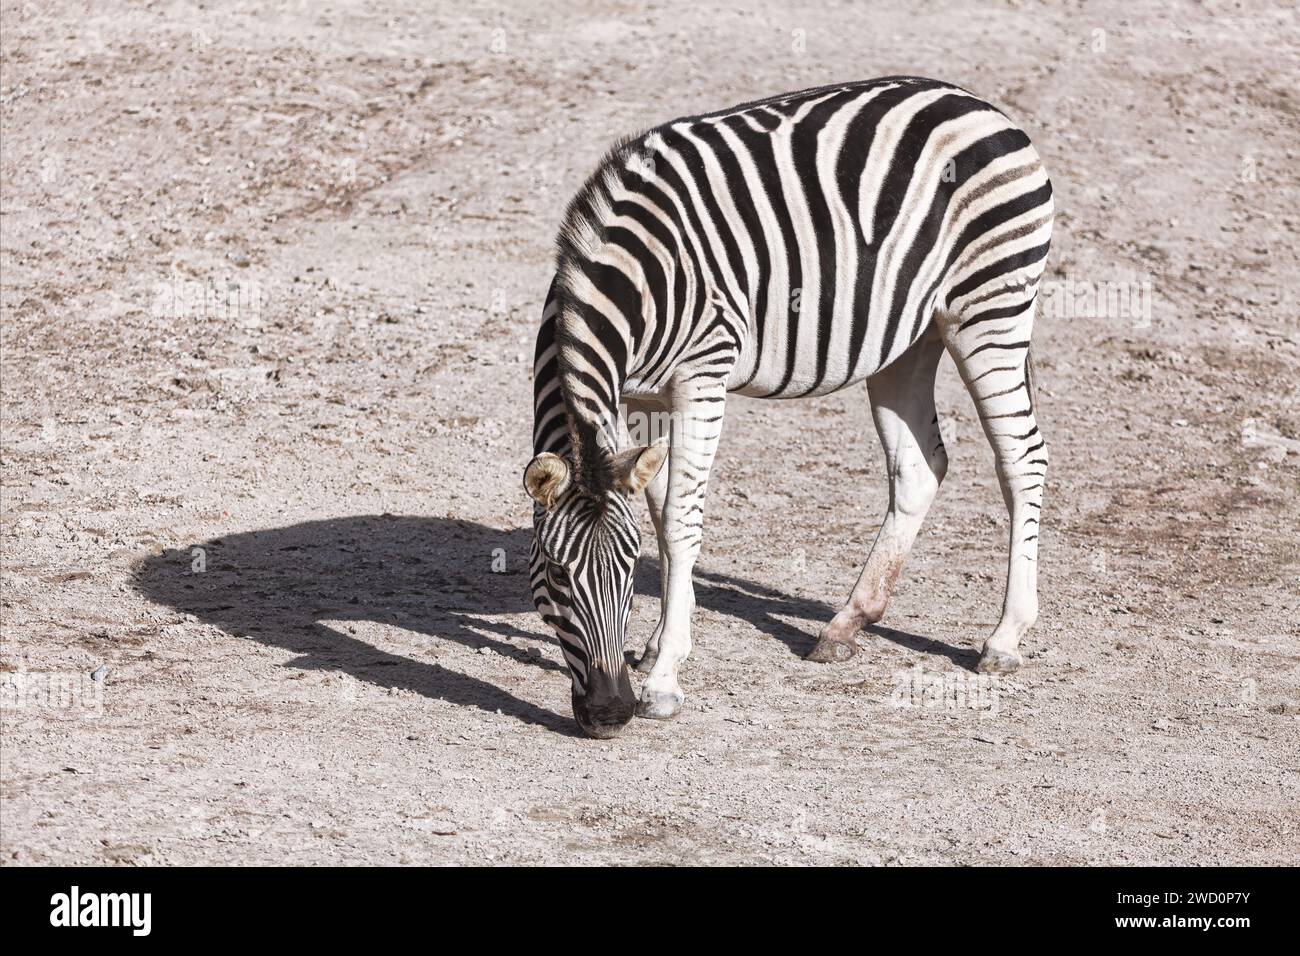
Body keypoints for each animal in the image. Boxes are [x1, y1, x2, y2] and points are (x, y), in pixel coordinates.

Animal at [524, 76, 1053, 738]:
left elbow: (681, 519)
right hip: (907, 340)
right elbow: (661, 515)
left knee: (1023, 460)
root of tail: (980, 104)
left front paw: (665, 677)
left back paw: (1004, 638)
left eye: (624, 574)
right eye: (558, 575)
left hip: (989, 310)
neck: (633, 281)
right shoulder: (642, 394)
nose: (609, 714)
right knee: (919, 467)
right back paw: (847, 623)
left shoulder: (703, 372)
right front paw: (657, 640)